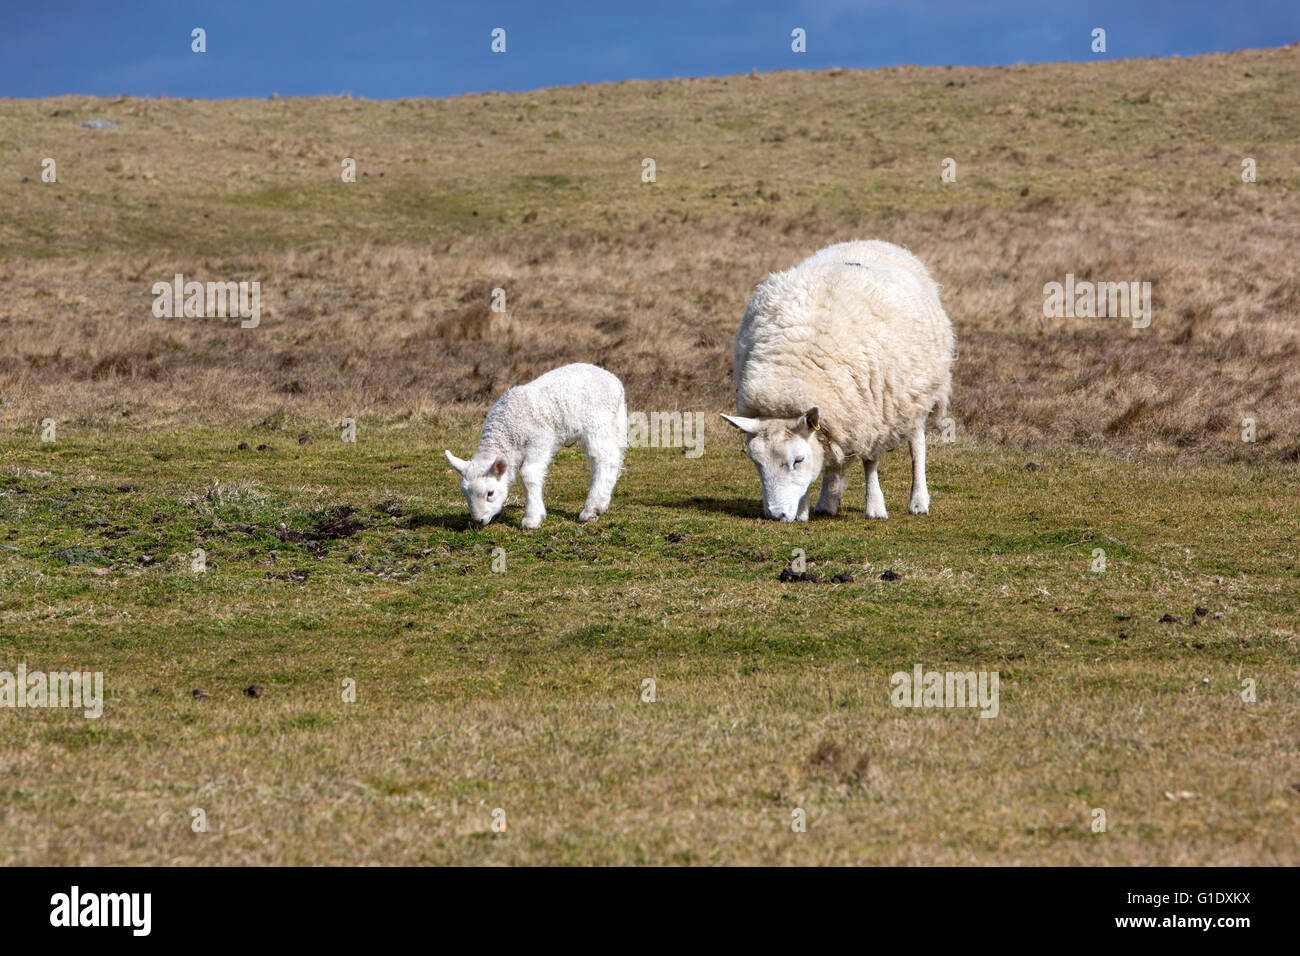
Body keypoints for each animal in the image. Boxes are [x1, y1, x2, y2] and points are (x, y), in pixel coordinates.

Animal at [444, 363, 627, 529]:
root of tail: (614, 381)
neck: (506, 431)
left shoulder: (539, 441)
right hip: (614, 423)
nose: (479, 521)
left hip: (596, 423)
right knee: (614, 459)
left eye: (490, 493)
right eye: (465, 494)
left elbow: (528, 475)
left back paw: (591, 509)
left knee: (604, 460)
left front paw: (531, 519)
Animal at [721, 240, 954, 522]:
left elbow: (870, 462)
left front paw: (875, 507)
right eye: (756, 462)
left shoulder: (873, 411)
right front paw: (804, 509)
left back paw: (918, 501)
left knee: (917, 444)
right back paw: (827, 500)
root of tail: (870, 241)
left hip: (914, 393)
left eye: (798, 460)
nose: (777, 515)